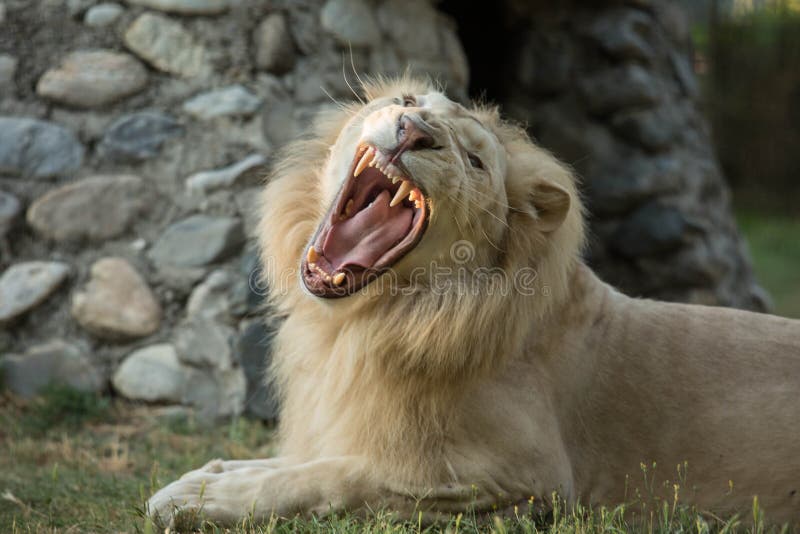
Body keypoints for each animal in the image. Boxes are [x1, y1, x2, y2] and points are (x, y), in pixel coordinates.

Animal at [148, 77, 800, 528]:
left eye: (476, 160)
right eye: (409, 99)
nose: (414, 129)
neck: (363, 325)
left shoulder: (523, 480)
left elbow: (336, 478)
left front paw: (199, 496)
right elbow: (295, 463)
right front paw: (205, 477)